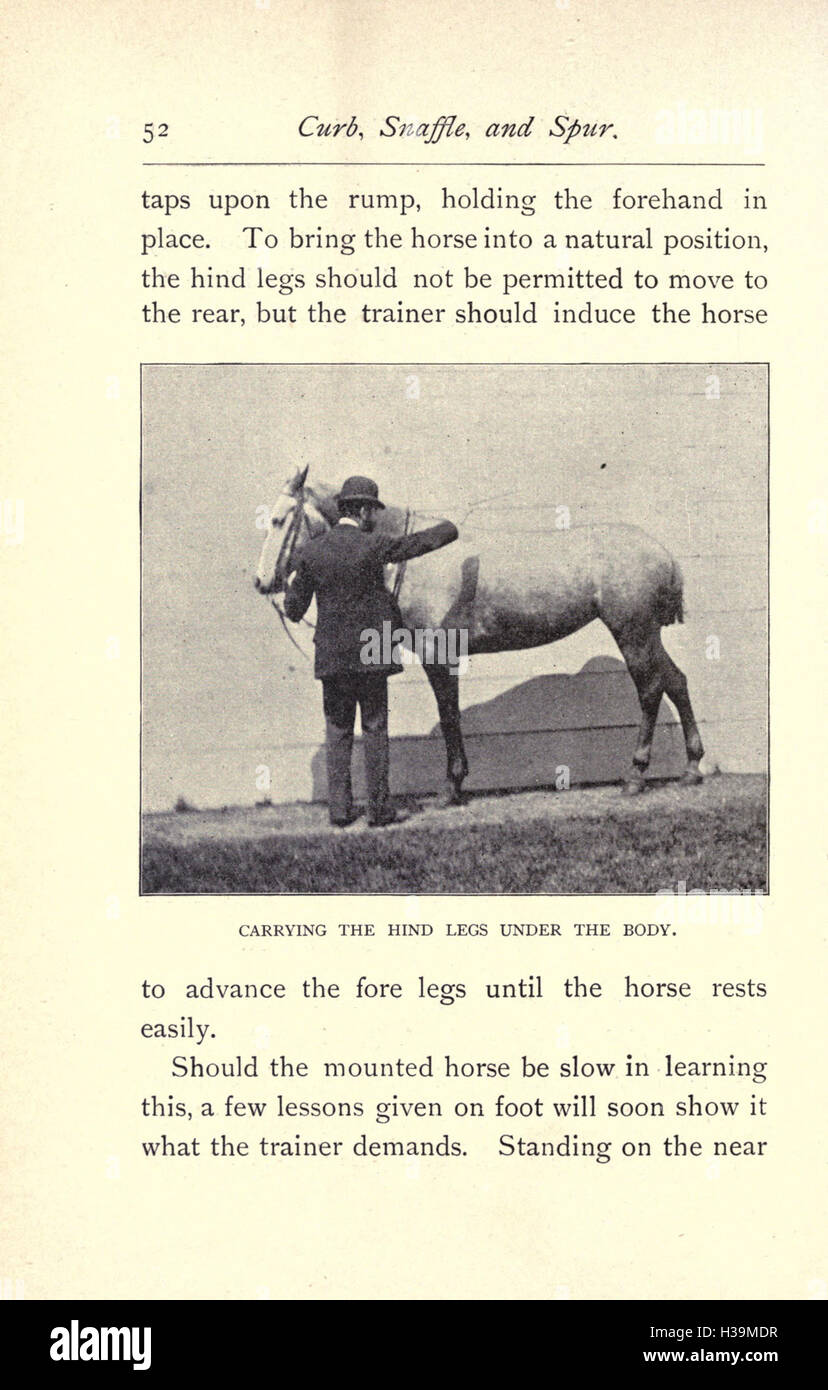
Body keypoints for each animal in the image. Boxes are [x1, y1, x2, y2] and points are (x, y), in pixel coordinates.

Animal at [254, 467, 704, 803]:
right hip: (646, 634)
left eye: (279, 519)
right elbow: (449, 713)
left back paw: (636, 775)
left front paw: (451, 787)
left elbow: (448, 714)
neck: (410, 556)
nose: (261, 581)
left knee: (650, 690)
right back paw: (692, 768)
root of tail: (663, 554)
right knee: (676, 681)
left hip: (632, 632)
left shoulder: (437, 654)